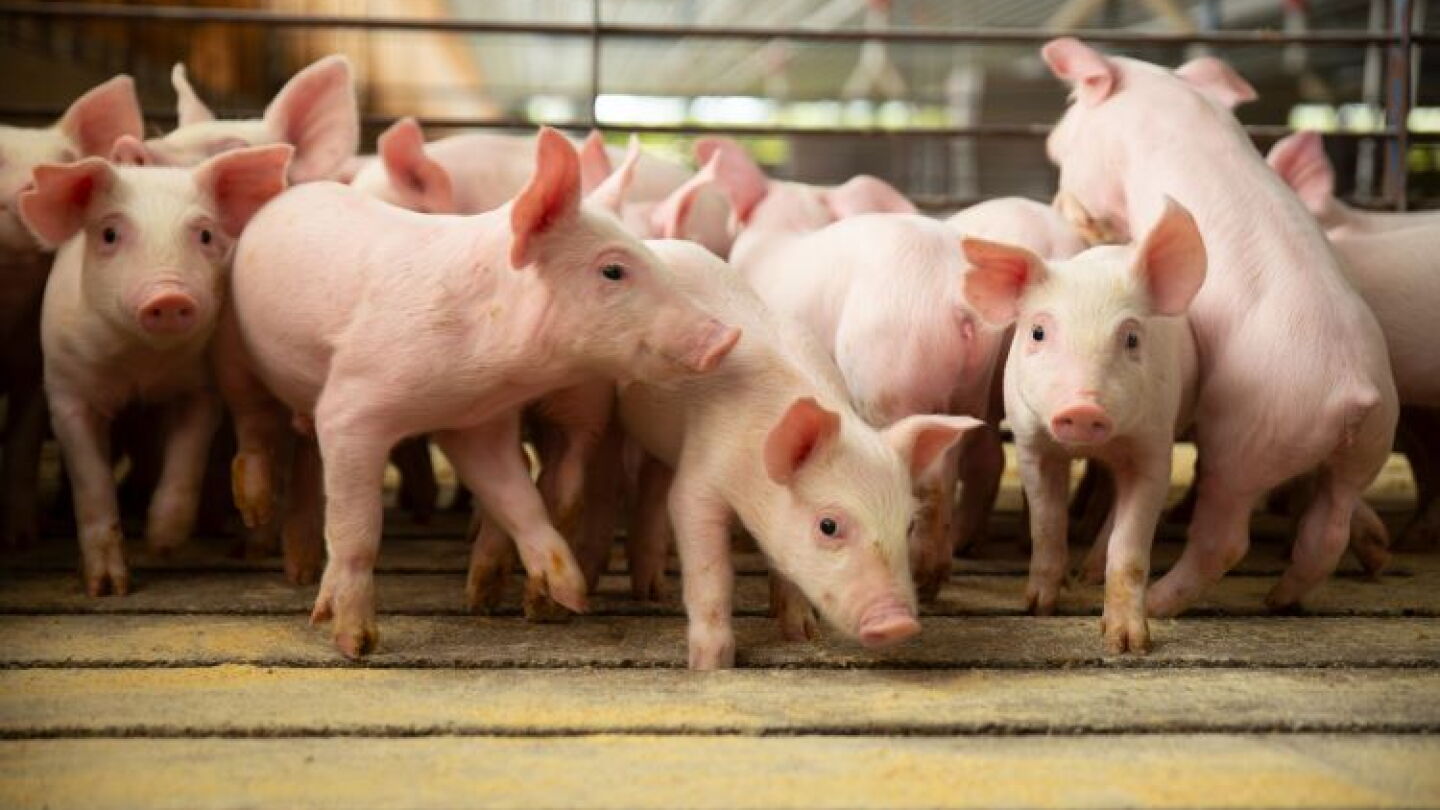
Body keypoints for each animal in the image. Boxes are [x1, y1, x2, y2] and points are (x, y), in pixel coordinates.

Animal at [18, 143, 292, 595]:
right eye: (110, 234)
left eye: (205, 235)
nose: (168, 296)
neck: (141, 365)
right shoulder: (67, 390)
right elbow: (92, 484)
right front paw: (107, 589)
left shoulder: (201, 389)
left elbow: (186, 462)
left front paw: (162, 544)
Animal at [215, 127, 740, 657]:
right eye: (613, 270)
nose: (726, 336)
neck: (484, 370)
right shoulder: (349, 410)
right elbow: (357, 525)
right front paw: (355, 644)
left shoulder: (476, 423)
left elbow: (519, 497)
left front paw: (566, 598)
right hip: (233, 350)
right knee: (254, 419)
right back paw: (257, 514)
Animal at [617, 238, 980, 669]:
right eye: (829, 525)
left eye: (908, 525)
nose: (898, 625)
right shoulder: (699, 480)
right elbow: (710, 569)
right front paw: (711, 665)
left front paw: (802, 635)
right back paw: (652, 593)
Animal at [962, 197, 1206, 652]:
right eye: (1038, 332)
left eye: (1131, 338)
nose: (1084, 407)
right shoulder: (1031, 445)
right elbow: (1048, 523)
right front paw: (1038, 608)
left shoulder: (1153, 447)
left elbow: (1129, 548)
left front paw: (1127, 645)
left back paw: (1090, 572)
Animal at [1042, 37, 1398, 614]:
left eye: (1069, 124)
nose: (1052, 144)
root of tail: (1354, 393)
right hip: (1367, 448)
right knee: (1328, 529)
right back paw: (1280, 600)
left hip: (1244, 441)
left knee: (1225, 539)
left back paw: (1160, 603)